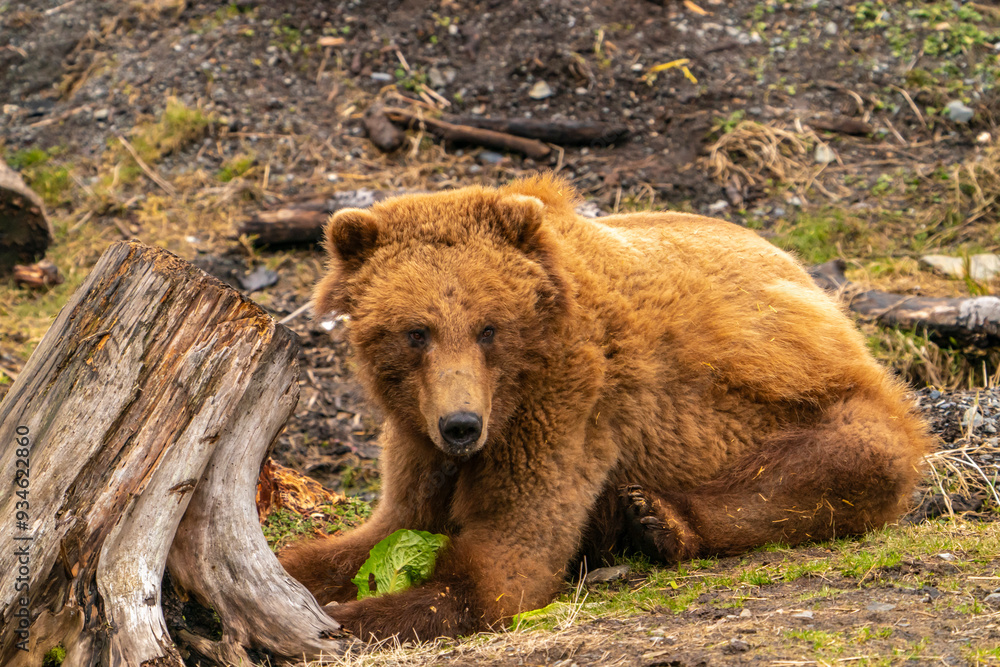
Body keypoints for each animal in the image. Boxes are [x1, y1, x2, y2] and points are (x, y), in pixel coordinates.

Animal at [278, 174, 931, 642]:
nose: (461, 425)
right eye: (416, 332)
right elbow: (385, 529)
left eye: (489, 328)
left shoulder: (565, 404)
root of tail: (812, 283)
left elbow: (502, 564)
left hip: (819, 399)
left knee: (849, 461)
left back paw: (658, 519)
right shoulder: (416, 438)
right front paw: (302, 578)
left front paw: (344, 619)